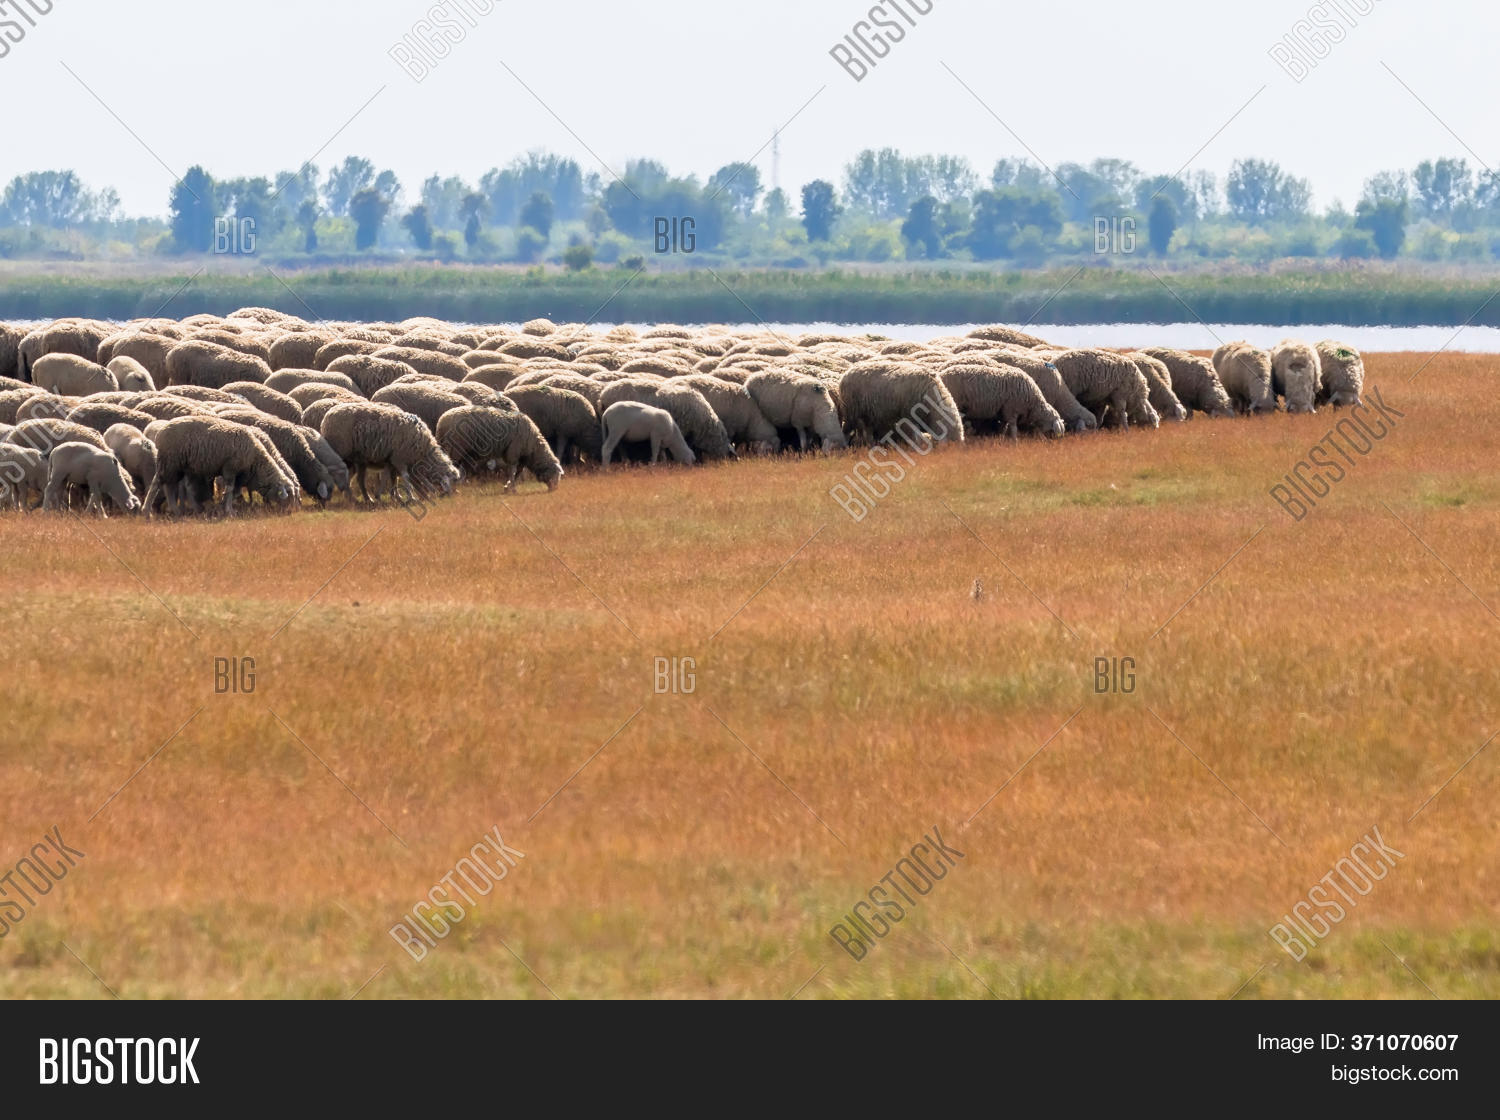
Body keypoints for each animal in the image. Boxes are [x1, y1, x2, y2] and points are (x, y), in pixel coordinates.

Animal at [144, 415, 297, 517]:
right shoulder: (230, 468)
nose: (290, 512)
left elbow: (235, 492)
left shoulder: (240, 475)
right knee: (156, 485)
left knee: (170, 486)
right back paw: (147, 511)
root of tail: (160, 432)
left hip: (178, 466)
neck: (256, 462)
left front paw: (223, 506)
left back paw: (177, 510)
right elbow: (229, 489)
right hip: (169, 461)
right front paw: (228, 510)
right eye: (288, 495)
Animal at [322, 401, 461, 504]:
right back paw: (350, 498)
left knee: (357, 479)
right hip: (341, 451)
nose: (450, 497)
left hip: (358, 460)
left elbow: (392, 479)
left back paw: (365, 498)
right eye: (450, 481)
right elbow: (405, 478)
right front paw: (411, 497)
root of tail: (328, 415)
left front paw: (395, 496)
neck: (423, 449)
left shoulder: (392, 461)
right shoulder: (399, 458)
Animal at [837, 361, 965, 447]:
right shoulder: (909, 416)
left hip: (868, 414)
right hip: (851, 411)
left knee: (867, 432)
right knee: (846, 430)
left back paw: (871, 445)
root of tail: (846, 373)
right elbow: (916, 438)